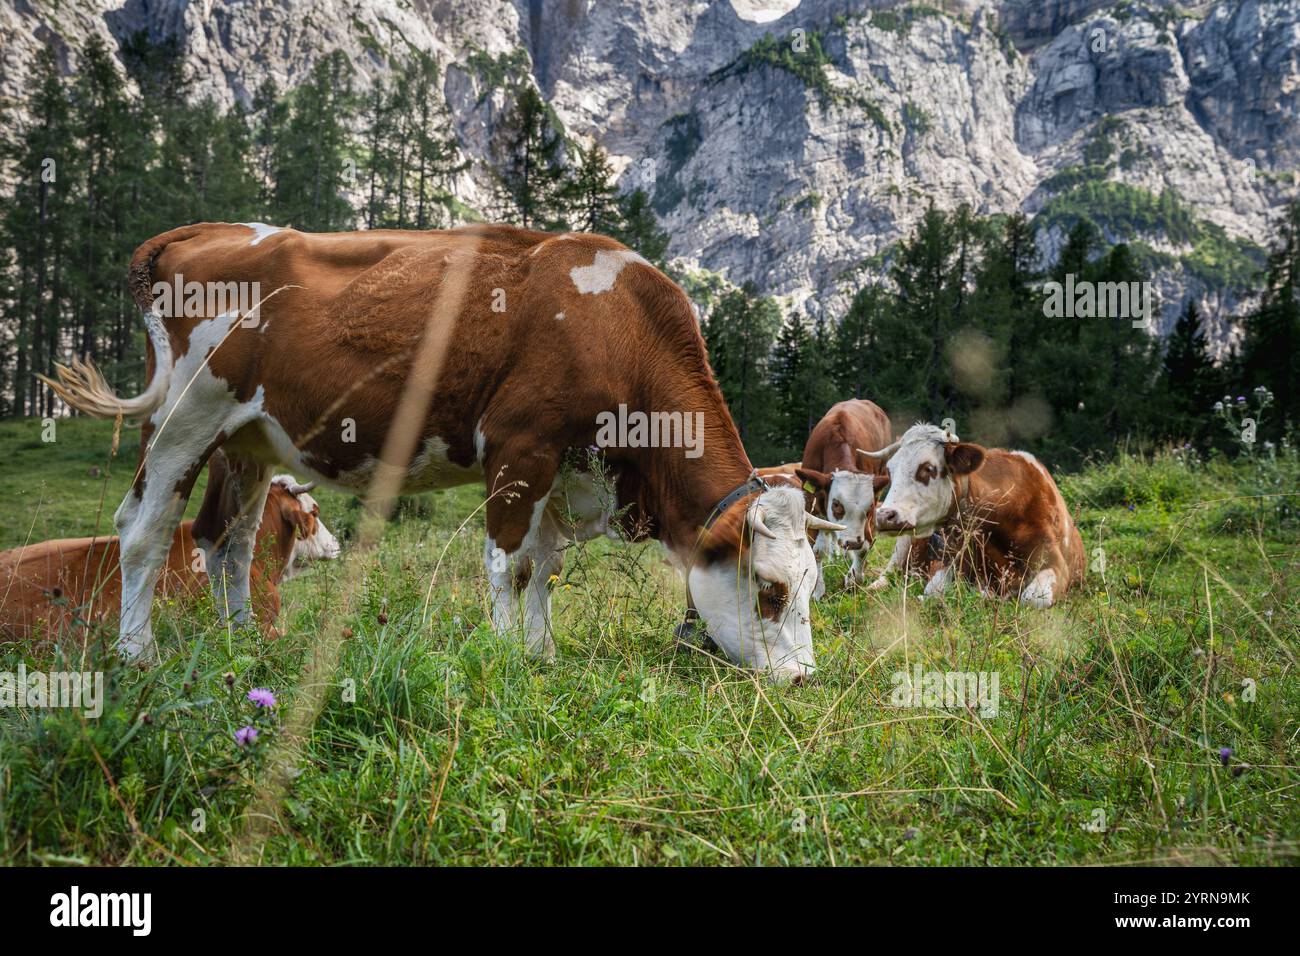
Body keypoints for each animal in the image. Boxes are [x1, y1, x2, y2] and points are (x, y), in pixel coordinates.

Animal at [42, 222, 841, 681]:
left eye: (814, 588)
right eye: (770, 589)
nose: (805, 680)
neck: (614, 323)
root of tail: (206, 231)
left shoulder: (566, 471)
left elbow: (545, 568)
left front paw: (542, 655)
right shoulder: (520, 447)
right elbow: (511, 566)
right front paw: (508, 657)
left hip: (247, 441)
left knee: (227, 541)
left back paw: (244, 646)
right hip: (184, 417)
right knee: (144, 529)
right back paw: (137, 654)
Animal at [793, 399, 891, 591]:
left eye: (870, 507)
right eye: (837, 504)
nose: (853, 542)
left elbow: (865, 547)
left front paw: (854, 579)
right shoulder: (812, 504)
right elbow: (817, 550)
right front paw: (817, 589)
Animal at [861, 424, 1084, 606]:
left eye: (928, 468)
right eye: (890, 471)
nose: (884, 515)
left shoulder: (1055, 563)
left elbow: (1033, 599)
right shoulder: (953, 561)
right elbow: (934, 590)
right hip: (904, 543)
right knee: (887, 575)